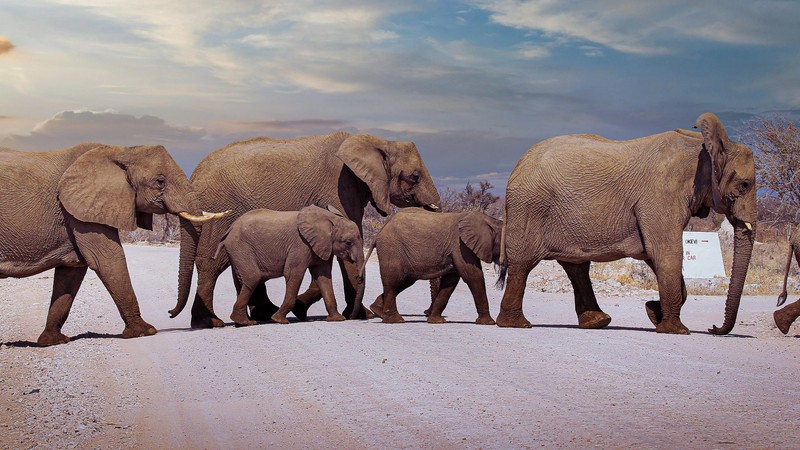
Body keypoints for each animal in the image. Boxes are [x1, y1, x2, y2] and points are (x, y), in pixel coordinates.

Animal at [0, 143, 226, 346]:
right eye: (160, 181)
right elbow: (108, 260)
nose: (170, 313)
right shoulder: (84, 212)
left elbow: (72, 271)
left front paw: (53, 342)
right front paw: (145, 331)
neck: (121, 151)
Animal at [218, 205, 364, 326]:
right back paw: (246, 322)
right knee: (252, 278)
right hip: (240, 248)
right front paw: (278, 320)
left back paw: (241, 322)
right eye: (348, 242)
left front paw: (337, 319)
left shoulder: (322, 246)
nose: (351, 317)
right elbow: (294, 274)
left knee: (241, 281)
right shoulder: (300, 245)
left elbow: (324, 278)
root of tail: (230, 229)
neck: (330, 219)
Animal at [363, 209, 501, 325]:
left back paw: (377, 311)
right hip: (391, 248)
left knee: (404, 281)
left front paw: (436, 321)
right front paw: (488, 323)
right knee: (393, 281)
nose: (426, 313)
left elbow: (450, 281)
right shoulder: (461, 246)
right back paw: (395, 321)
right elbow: (473, 276)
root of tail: (379, 233)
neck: (489, 220)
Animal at [496, 112, 756, 335]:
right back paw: (516, 324)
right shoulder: (661, 195)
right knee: (523, 263)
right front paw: (675, 329)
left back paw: (597, 322)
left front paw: (653, 312)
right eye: (744, 186)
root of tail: (518, 166)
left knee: (576, 267)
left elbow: (655, 255)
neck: (705, 147)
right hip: (529, 209)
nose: (713, 328)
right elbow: (665, 252)